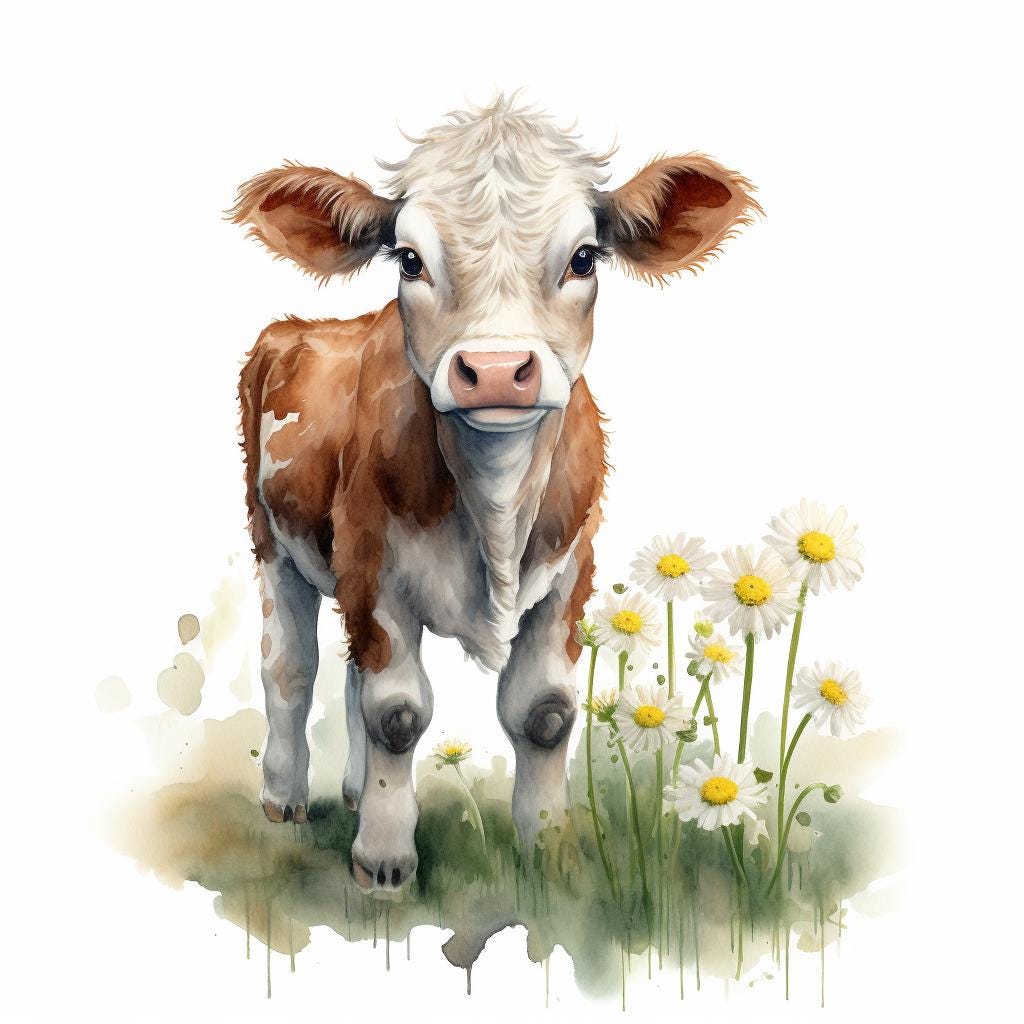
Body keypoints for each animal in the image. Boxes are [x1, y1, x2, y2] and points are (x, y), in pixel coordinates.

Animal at [231, 96, 760, 892]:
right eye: (410, 260)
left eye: (584, 257)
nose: (497, 368)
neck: (494, 511)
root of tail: (296, 327)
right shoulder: (375, 570)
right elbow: (396, 713)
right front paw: (383, 859)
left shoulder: (569, 573)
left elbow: (544, 713)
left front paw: (550, 853)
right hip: (273, 544)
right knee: (289, 670)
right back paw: (285, 796)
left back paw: (353, 791)